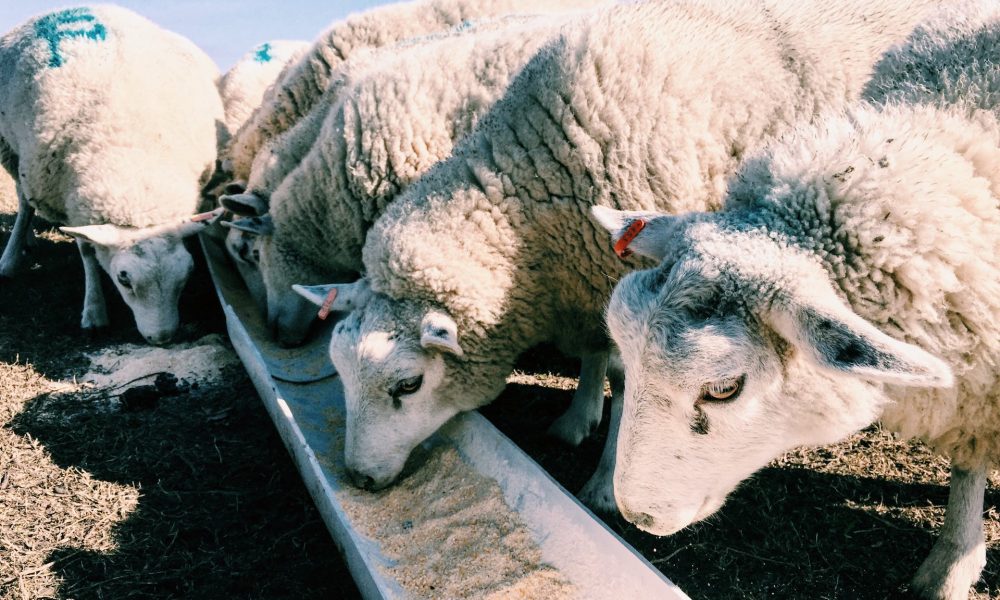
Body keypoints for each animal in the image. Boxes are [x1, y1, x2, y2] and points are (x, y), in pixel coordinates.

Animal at [0, 5, 225, 344]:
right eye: (124, 279)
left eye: (187, 273)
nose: (162, 338)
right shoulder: (70, 201)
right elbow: (87, 253)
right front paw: (94, 312)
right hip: (11, 150)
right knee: (24, 203)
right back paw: (12, 255)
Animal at [290, 0, 941, 512]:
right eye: (340, 372)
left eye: (407, 384)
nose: (358, 479)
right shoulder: (584, 281)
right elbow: (592, 354)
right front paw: (578, 418)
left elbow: (630, 382)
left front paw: (604, 484)